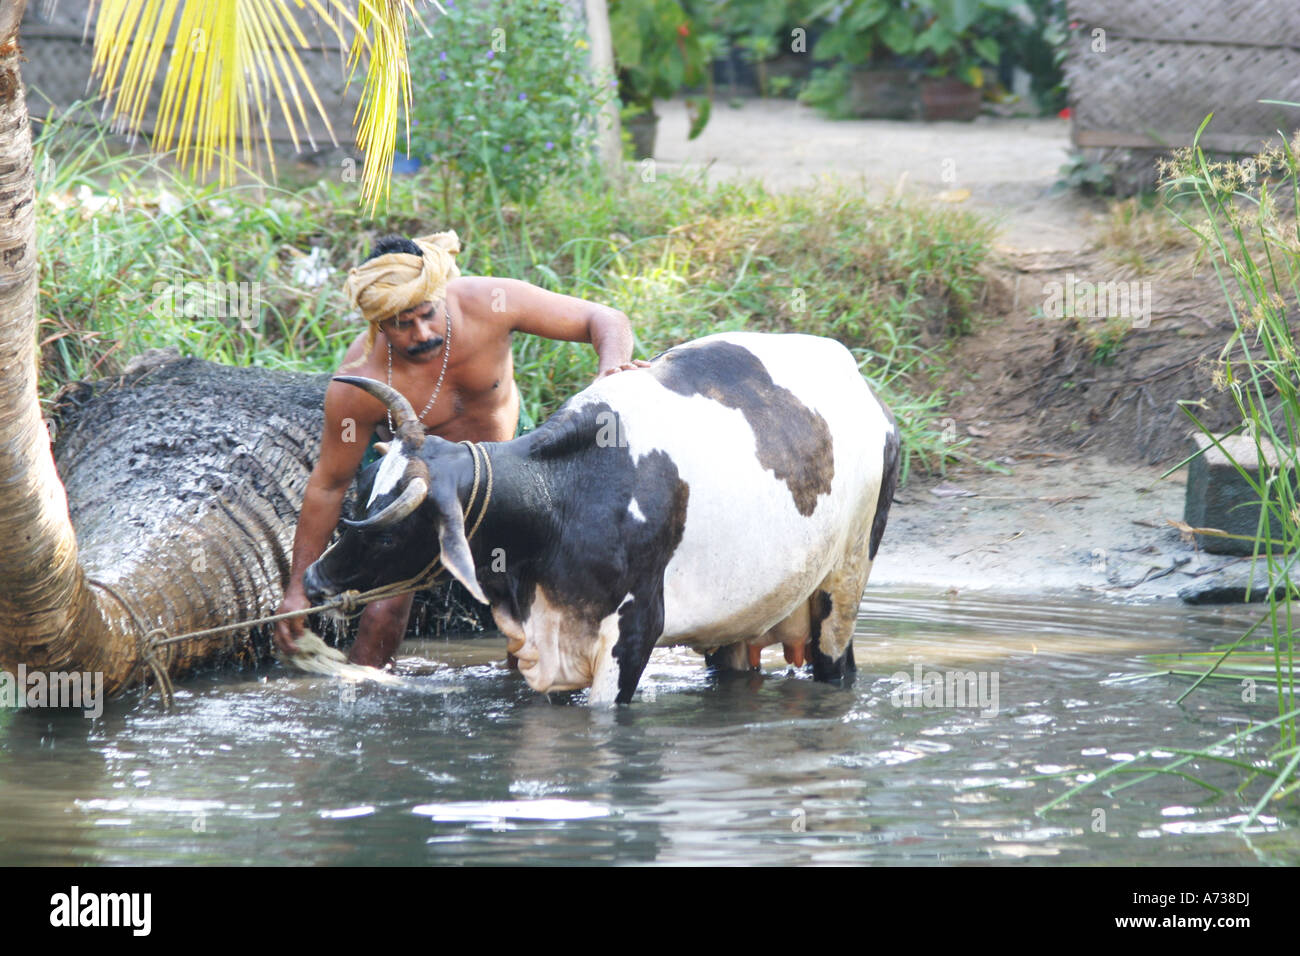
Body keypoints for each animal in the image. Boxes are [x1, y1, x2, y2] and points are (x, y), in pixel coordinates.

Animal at [303, 331, 900, 705]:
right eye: (364, 496)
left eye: (391, 532)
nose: (313, 578)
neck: (562, 496)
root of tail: (862, 385)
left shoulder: (634, 634)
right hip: (741, 618)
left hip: (843, 589)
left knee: (836, 664)